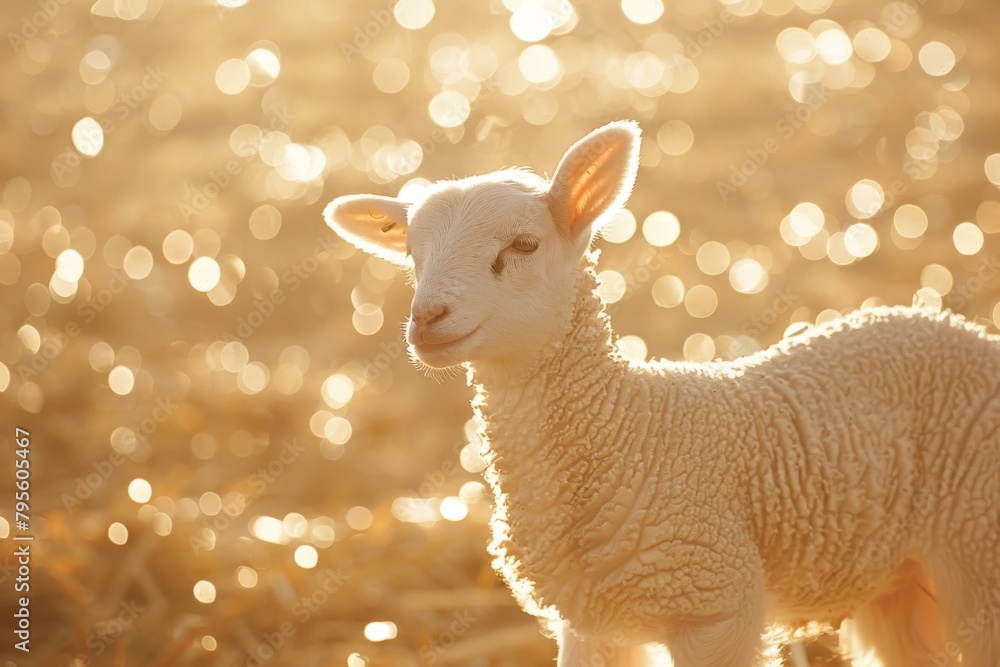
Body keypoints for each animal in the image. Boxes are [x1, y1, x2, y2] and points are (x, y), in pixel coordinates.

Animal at [323, 121, 1000, 667]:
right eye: (411, 254)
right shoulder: (590, 624)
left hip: (977, 545)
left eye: (523, 245)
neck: (626, 430)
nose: (426, 319)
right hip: (898, 584)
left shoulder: (715, 604)